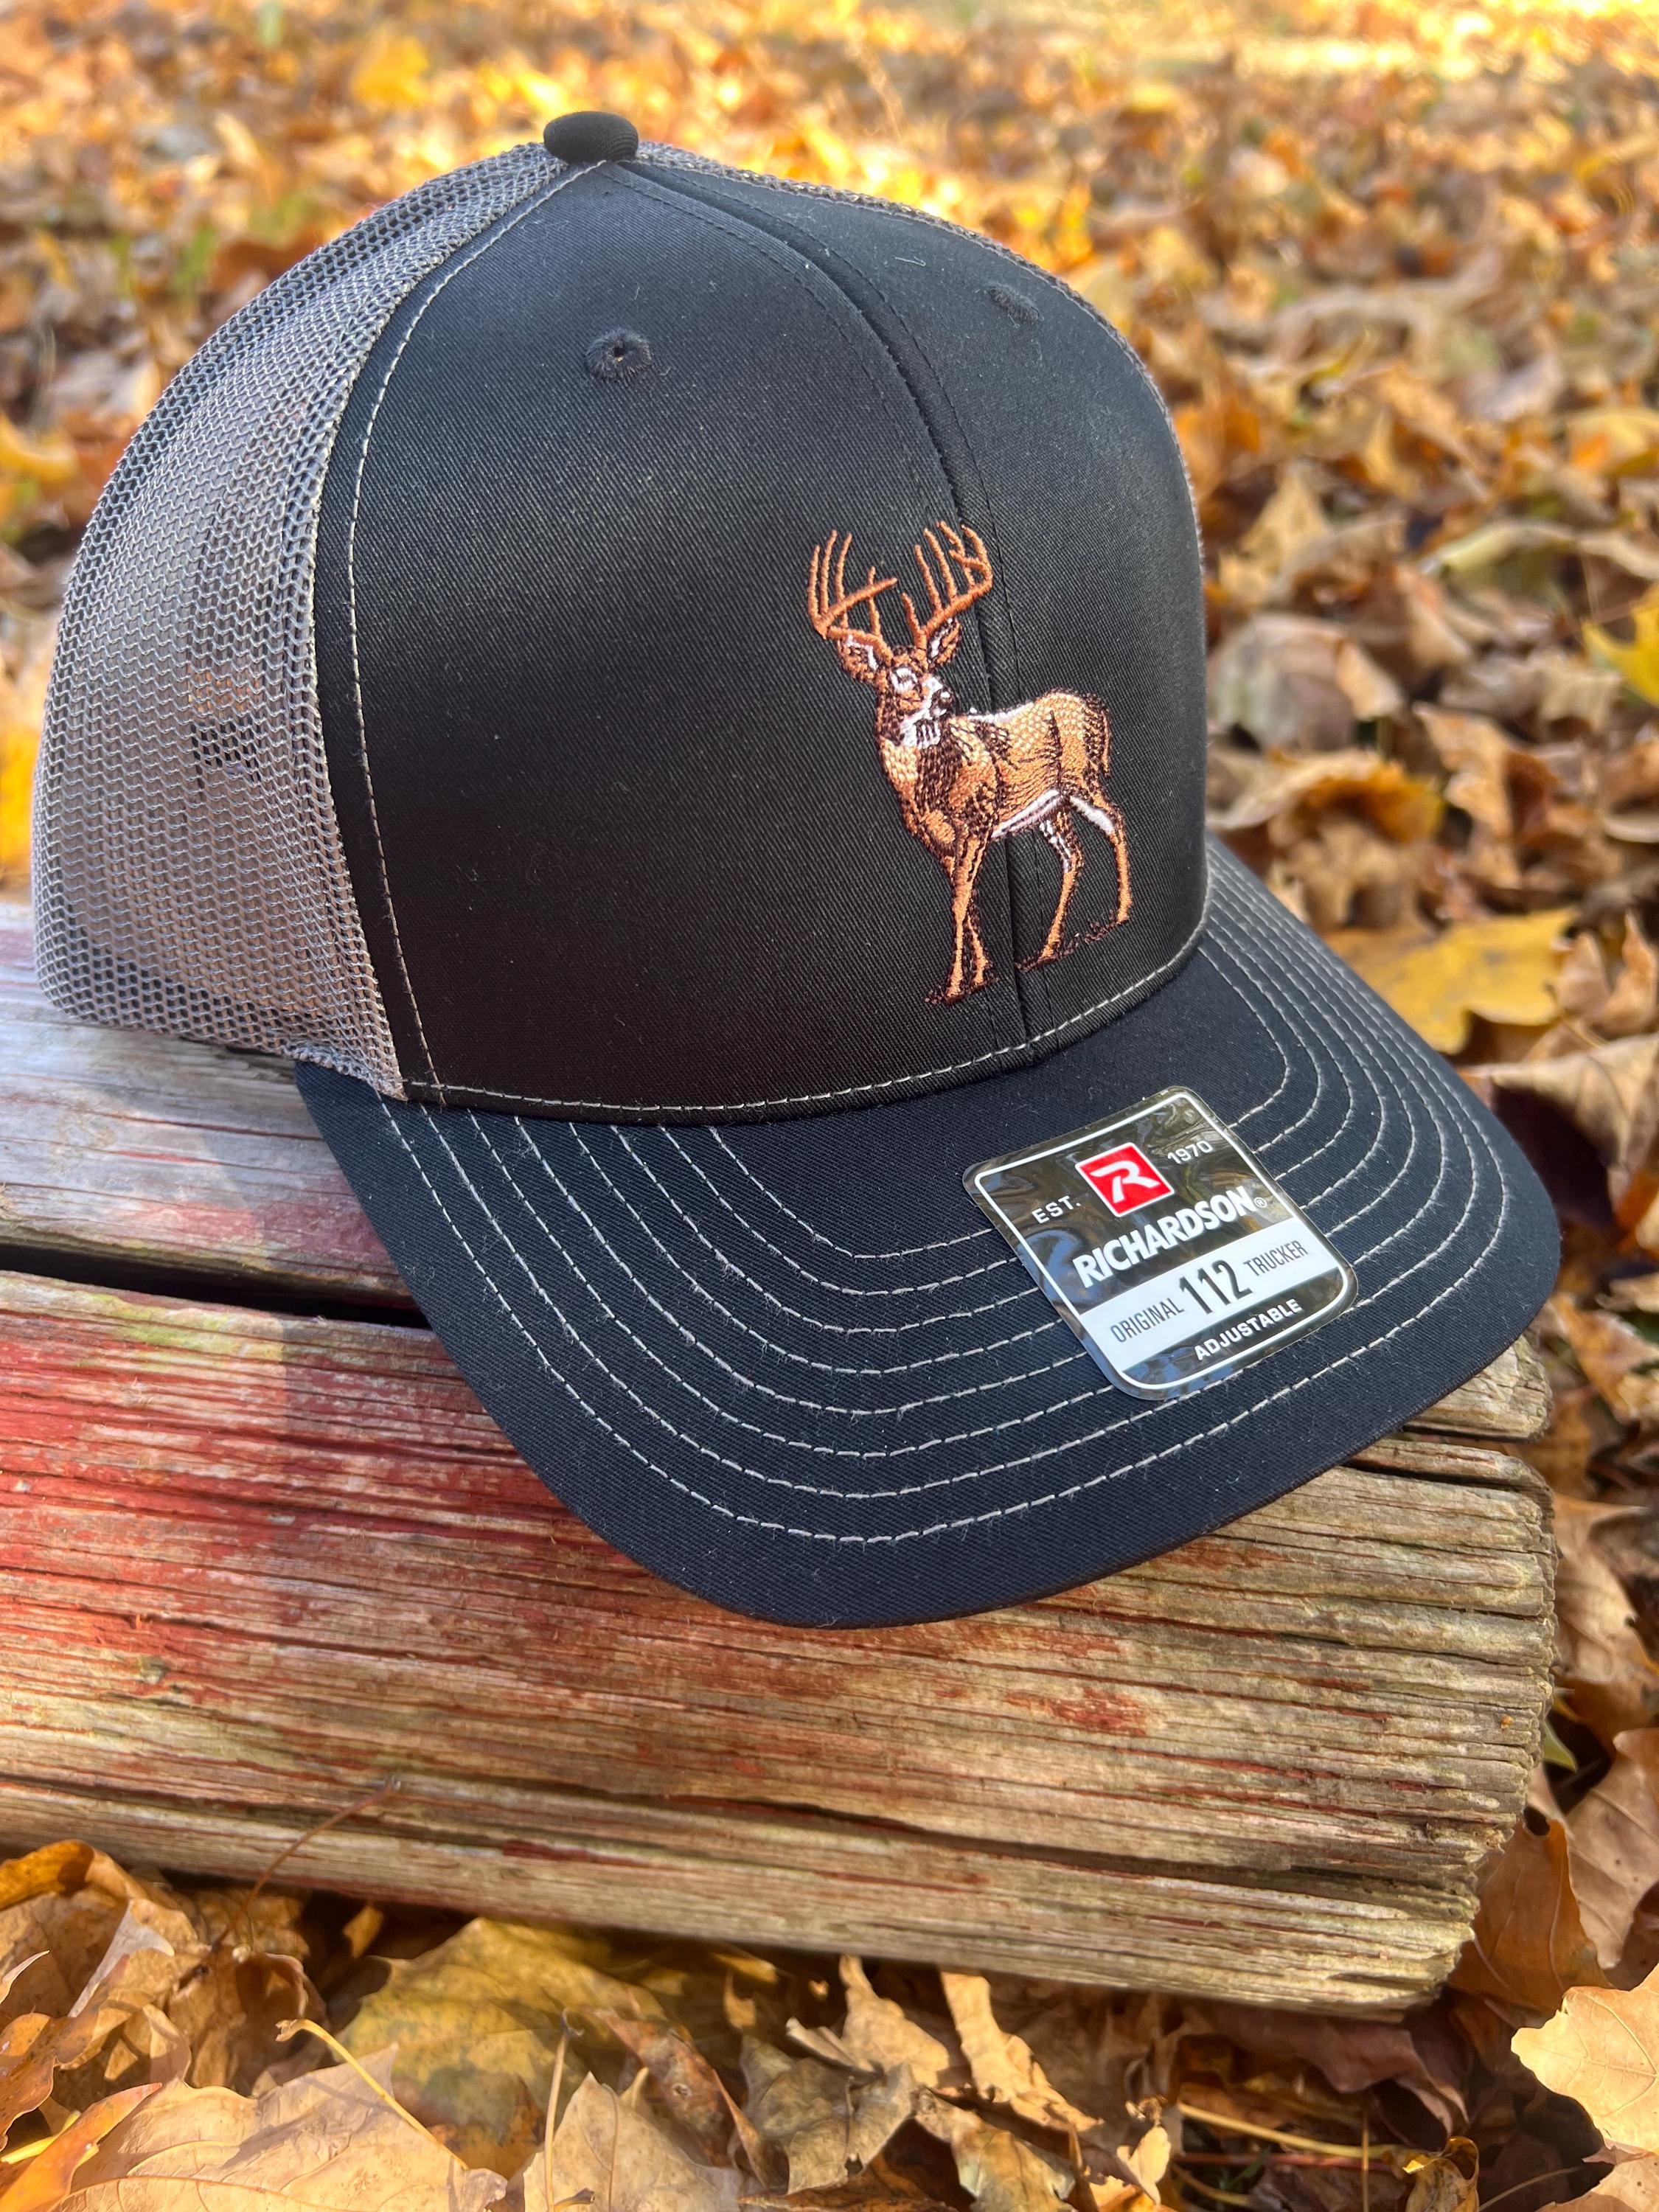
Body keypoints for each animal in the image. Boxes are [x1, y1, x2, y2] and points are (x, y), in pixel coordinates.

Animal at [807, 521, 1131, 1005]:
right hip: (1050, 807)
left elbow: (961, 900)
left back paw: (1123, 912)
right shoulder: (937, 841)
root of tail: (1095, 707)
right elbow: (968, 901)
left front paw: (957, 984)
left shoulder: (976, 821)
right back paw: (1047, 949)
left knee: (1114, 821)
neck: (929, 787)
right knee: (1074, 856)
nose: (946, 696)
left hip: (1082, 777)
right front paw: (979, 977)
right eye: (900, 676)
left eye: (931, 665)